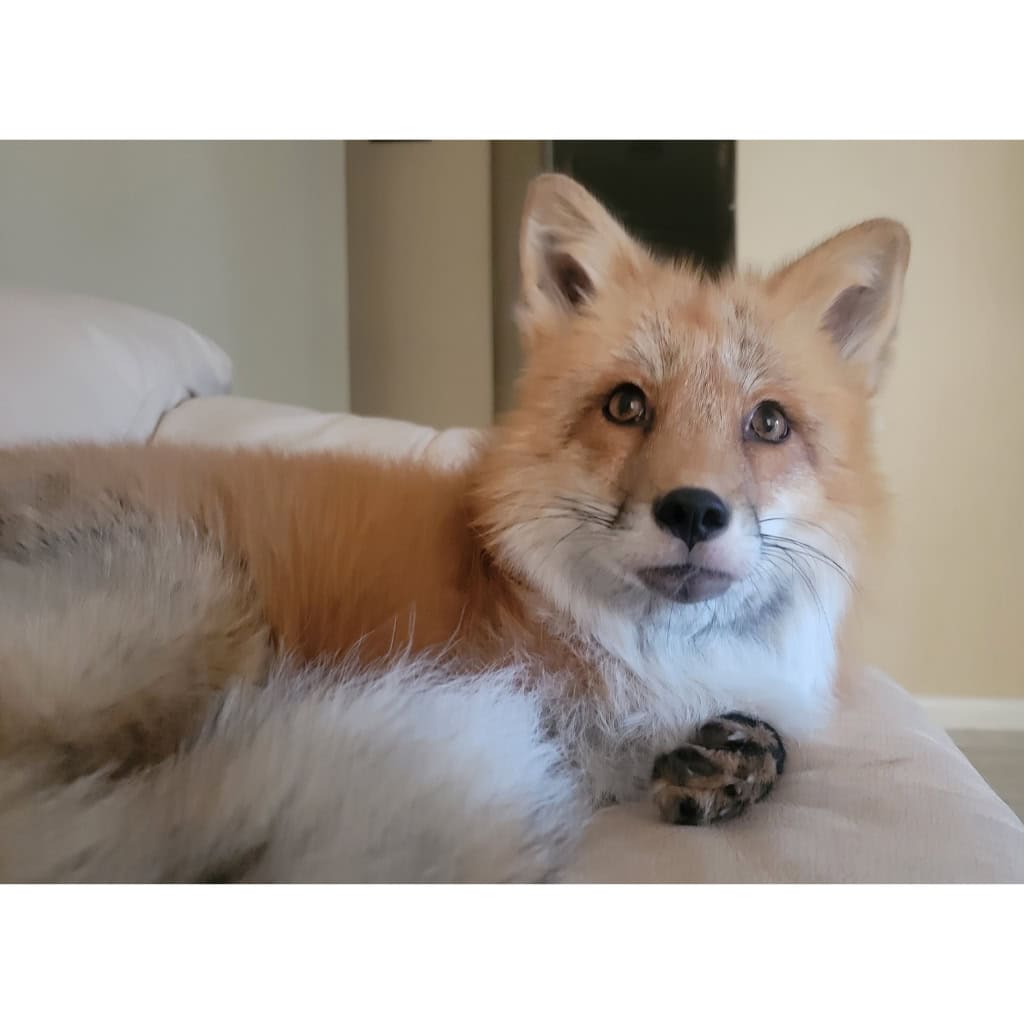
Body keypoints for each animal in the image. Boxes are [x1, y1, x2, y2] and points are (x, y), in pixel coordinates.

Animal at [0, 174, 908, 882]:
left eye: (768, 423)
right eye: (626, 406)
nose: (692, 509)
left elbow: (773, 743)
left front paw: (736, 758)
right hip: (187, 607)